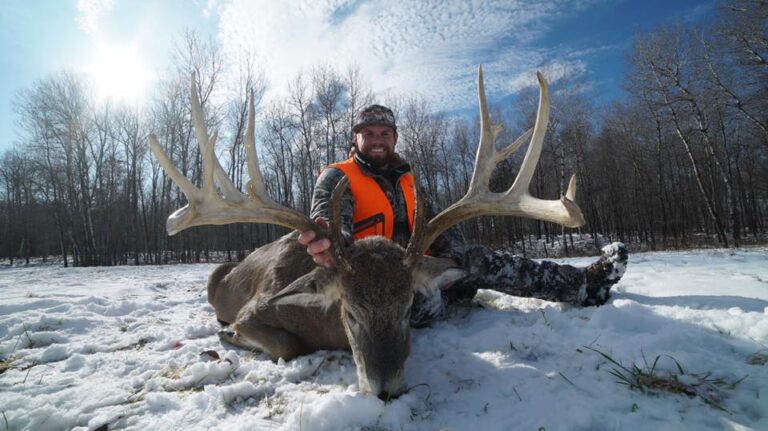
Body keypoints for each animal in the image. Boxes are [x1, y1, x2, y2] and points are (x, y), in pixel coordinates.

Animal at [148, 66, 585, 400]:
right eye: (351, 313)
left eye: (407, 307)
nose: (386, 390)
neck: (323, 325)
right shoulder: (252, 311)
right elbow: (284, 344)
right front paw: (228, 338)